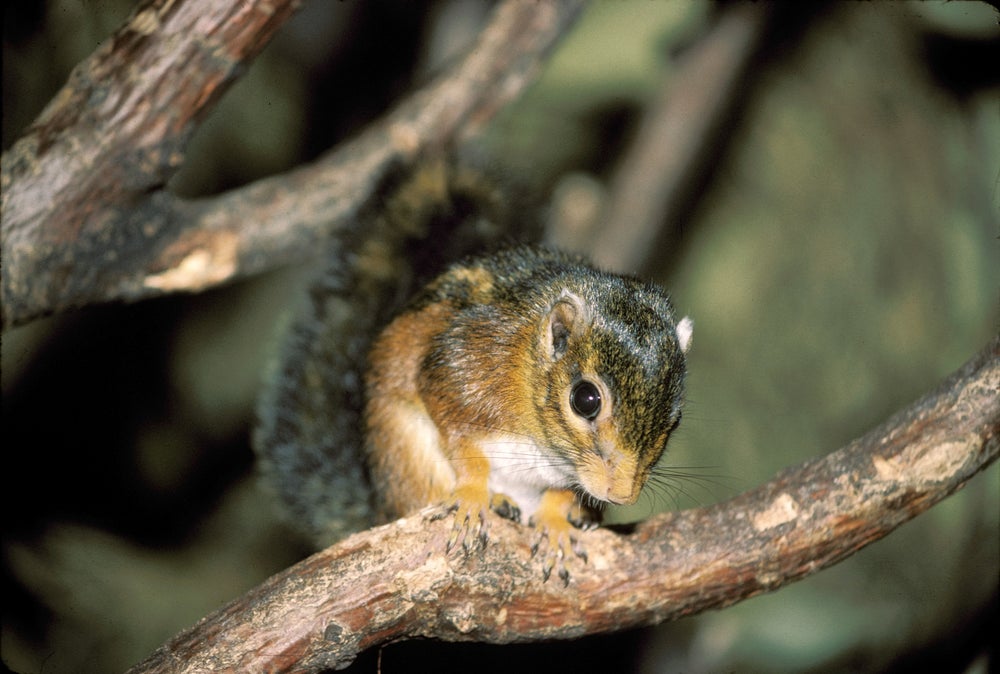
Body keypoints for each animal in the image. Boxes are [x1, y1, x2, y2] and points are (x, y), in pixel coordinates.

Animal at [253, 158, 692, 582]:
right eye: (585, 400)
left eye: (674, 419)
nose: (621, 495)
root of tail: (381, 505)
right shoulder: (463, 363)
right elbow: (459, 434)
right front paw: (473, 493)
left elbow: (566, 492)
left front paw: (557, 521)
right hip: (407, 458)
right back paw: (495, 501)